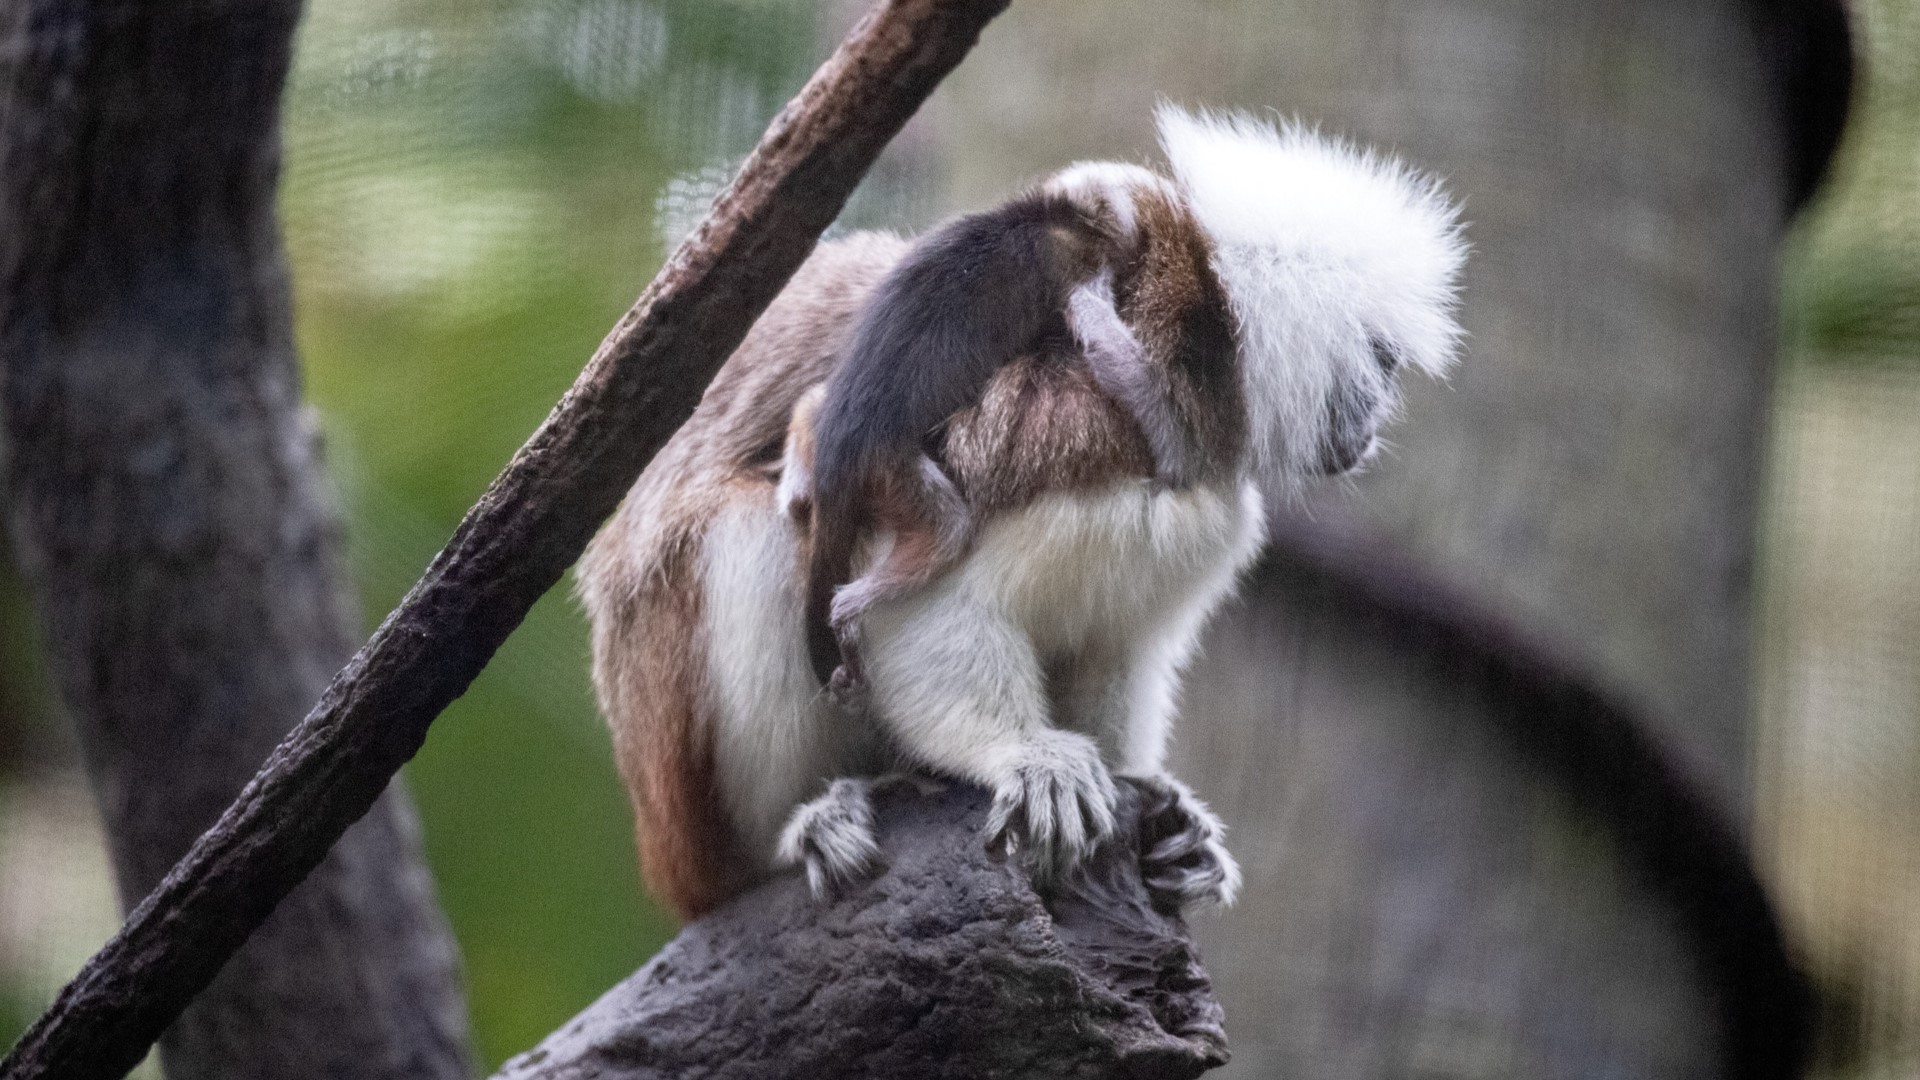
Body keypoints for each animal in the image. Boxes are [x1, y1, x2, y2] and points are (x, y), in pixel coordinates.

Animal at [577, 105, 1467, 919]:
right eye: (1380, 362)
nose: (1376, 417)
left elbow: (1115, 643)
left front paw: (1170, 820)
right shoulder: (1069, 440)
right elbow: (924, 607)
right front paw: (1028, 757)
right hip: (680, 789)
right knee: (752, 532)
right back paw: (796, 833)